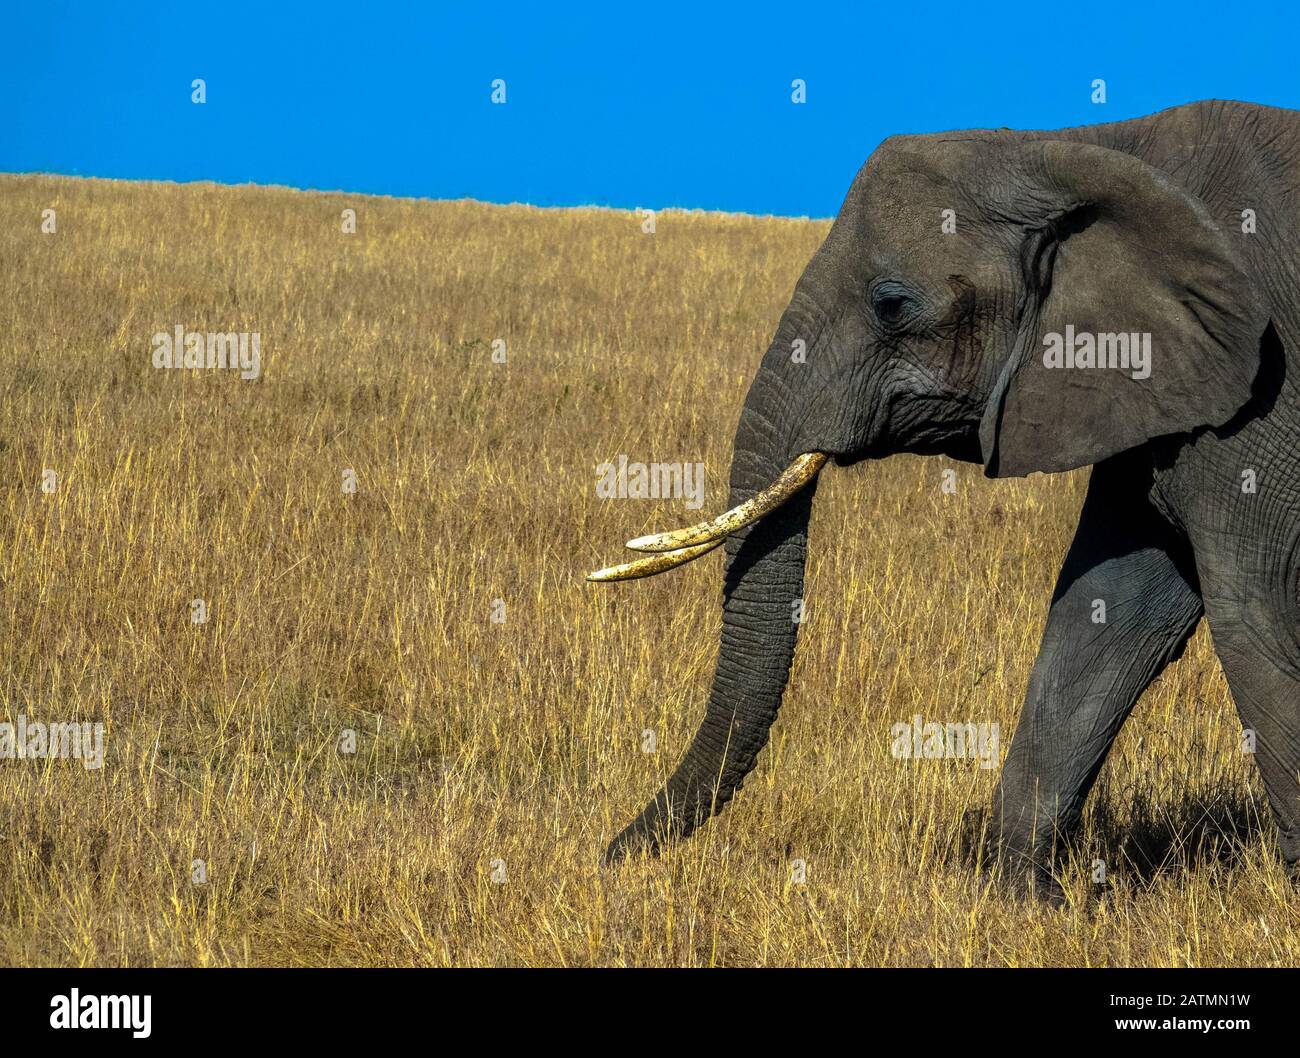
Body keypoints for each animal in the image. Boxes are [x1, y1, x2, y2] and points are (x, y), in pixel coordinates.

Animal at [590, 99, 1300, 896]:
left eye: (892, 306)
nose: (606, 856)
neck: (1081, 149)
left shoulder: (1264, 400)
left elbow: (1252, 614)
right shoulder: (1148, 387)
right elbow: (1112, 611)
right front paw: (1029, 902)